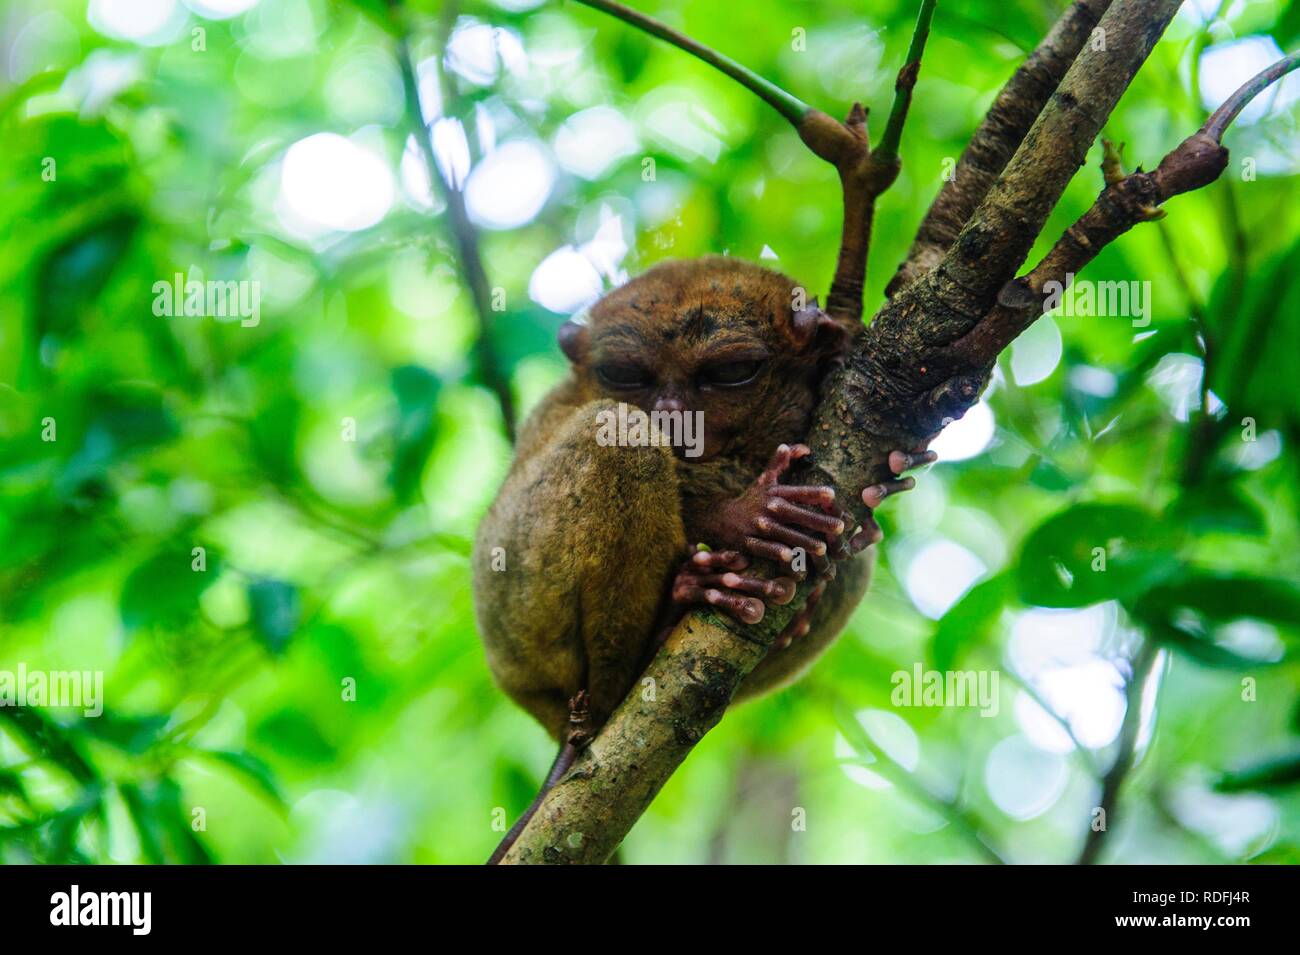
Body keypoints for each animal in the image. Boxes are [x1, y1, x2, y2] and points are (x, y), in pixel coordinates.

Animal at [472, 256, 933, 862]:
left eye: (732, 371)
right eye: (625, 374)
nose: (673, 416)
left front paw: (897, 466)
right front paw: (745, 515)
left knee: (854, 558)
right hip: (520, 611)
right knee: (617, 437)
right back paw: (662, 628)